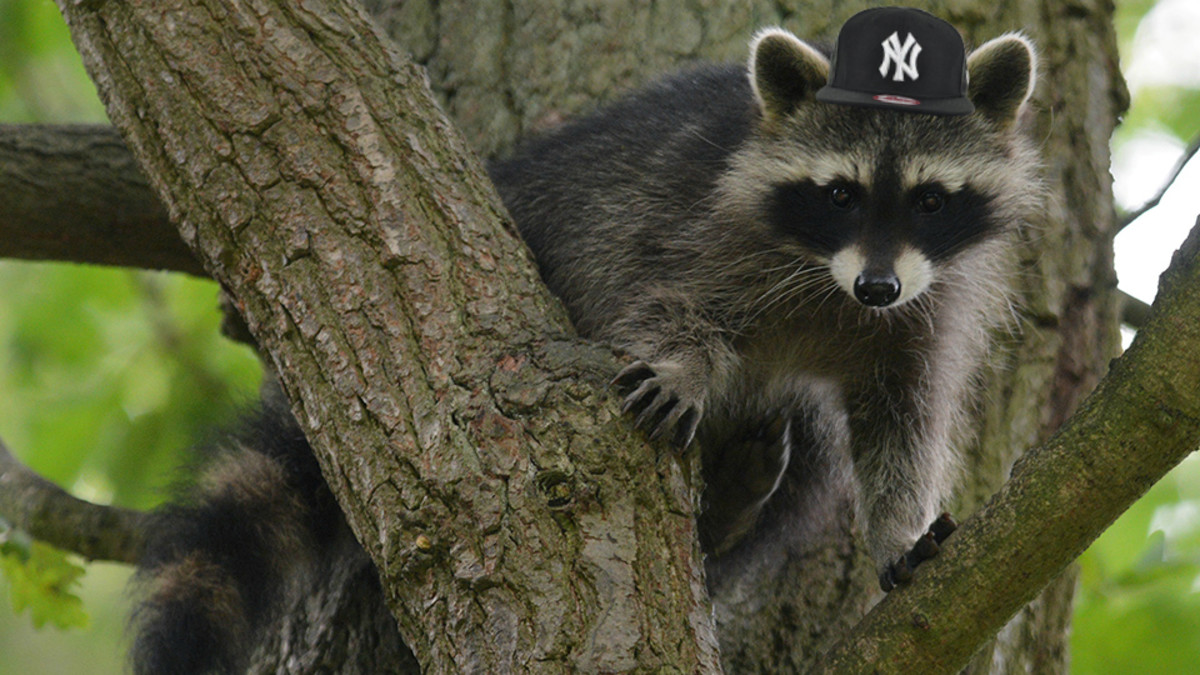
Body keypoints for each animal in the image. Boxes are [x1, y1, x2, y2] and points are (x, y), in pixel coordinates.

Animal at [130, 25, 1039, 674]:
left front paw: (899, 528)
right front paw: (681, 365)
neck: (831, 282)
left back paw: (729, 513)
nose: (877, 287)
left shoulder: (926, 308)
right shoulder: (699, 232)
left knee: (811, 449)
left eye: (929, 199)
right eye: (840, 193)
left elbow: (901, 422)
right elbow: (668, 302)